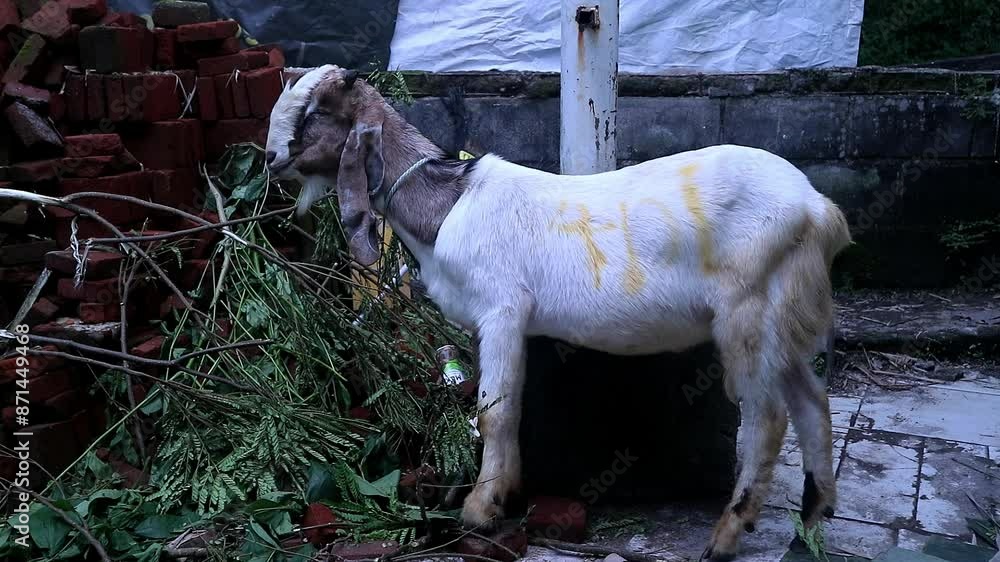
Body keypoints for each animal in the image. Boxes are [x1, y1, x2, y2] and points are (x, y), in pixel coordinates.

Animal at [266, 65, 852, 561]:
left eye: (314, 112)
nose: (271, 159)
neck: (447, 206)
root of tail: (818, 207)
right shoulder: (492, 324)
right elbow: (500, 407)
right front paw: (503, 494)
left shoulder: (501, 309)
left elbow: (494, 412)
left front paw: (479, 510)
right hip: (783, 316)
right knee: (811, 400)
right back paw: (813, 517)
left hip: (748, 310)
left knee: (767, 416)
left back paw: (728, 535)